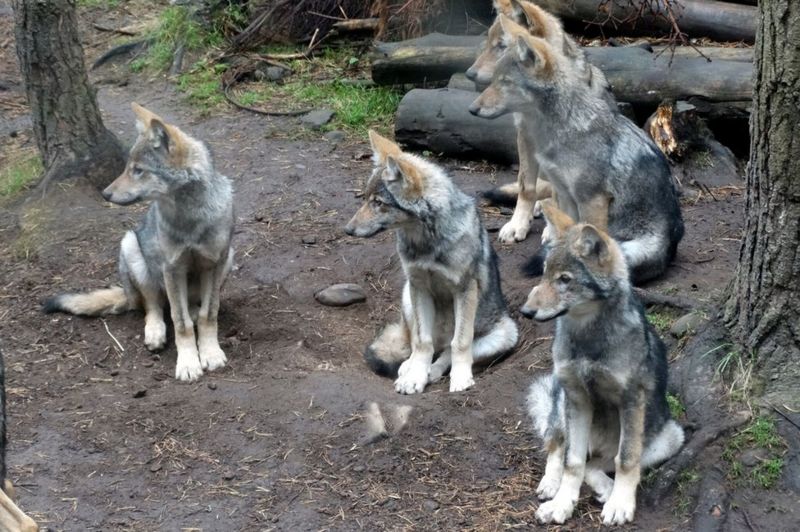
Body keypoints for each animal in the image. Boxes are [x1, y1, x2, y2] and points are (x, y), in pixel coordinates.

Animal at [43, 103, 235, 382]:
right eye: (127, 167)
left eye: (138, 170)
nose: (105, 194)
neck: (189, 218)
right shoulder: (171, 268)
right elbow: (181, 323)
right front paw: (188, 363)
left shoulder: (214, 263)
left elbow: (208, 315)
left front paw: (210, 353)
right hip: (133, 249)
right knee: (152, 306)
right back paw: (155, 332)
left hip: (228, 259)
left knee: (188, 306)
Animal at [344, 130, 518, 394]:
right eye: (365, 199)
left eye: (378, 202)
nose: (348, 230)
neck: (426, 244)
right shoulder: (419, 286)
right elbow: (422, 342)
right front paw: (414, 376)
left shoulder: (465, 289)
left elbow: (460, 343)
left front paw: (460, 379)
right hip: (407, 295)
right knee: (420, 344)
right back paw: (410, 368)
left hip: (505, 334)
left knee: (448, 350)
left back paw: (435, 373)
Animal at [469, 14, 684, 284]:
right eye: (494, 80)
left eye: (505, 83)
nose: (472, 109)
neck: (563, 128)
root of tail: (671, 246)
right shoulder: (565, 193)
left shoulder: (592, 200)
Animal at [520, 200, 684, 525]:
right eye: (544, 275)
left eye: (565, 280)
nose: (526, 311)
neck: (588, 339)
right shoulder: (577, 397)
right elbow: (571, 463)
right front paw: (561, 505)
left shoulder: (632, 400)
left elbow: (627, 460)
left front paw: (620, 504)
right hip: (563, 405)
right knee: (559, 446)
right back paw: (552, 484)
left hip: (670, 437)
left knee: (599, 463)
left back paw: (607, 491)